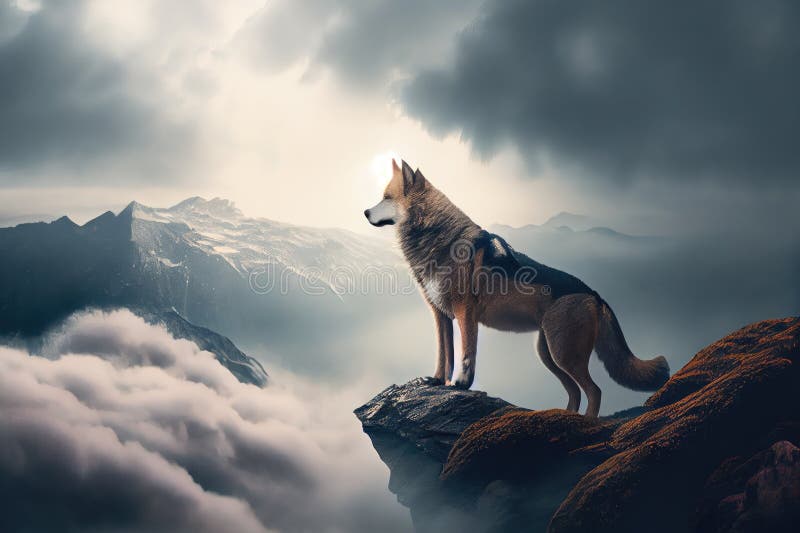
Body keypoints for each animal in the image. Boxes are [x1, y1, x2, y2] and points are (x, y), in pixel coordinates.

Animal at [364, 159, 669, 417]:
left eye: (387, 198)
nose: (365, 212)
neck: (439, 240)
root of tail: (595, 294)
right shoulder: (440, 315)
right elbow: (444, 355)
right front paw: (438, 381)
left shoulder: (465, 313)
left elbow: (466, 355)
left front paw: (461, 384)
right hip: (549, 356)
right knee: (575, 393)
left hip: (563, 356)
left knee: (594, 391)